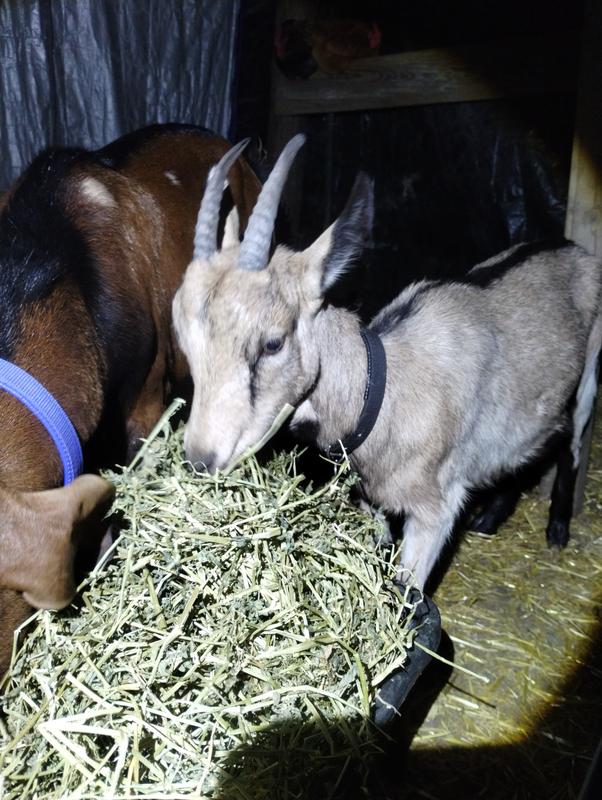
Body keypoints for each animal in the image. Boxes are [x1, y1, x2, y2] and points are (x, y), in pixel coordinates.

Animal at [173, 134, 602, 590]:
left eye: (272, 342)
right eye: (185, 342)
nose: (201, 459)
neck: (385, 391)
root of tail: (575, 250)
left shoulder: (436, 509)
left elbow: (408, 592)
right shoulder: (372, 501)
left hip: (590, 370)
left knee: (573, 439)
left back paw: (557, 529)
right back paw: (489, 519)